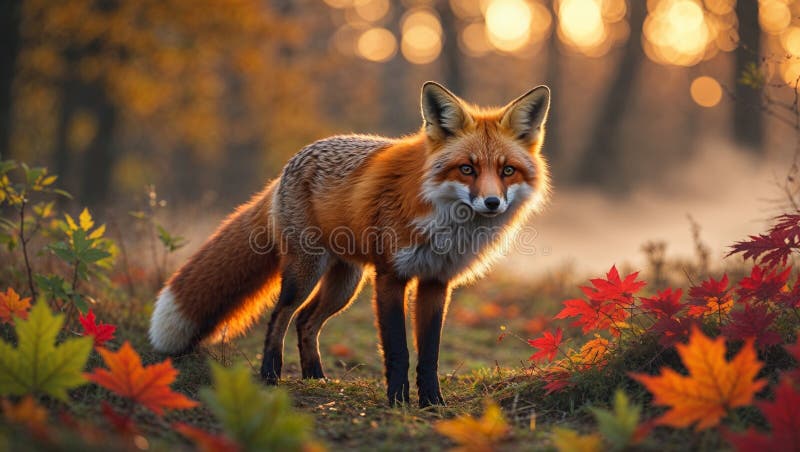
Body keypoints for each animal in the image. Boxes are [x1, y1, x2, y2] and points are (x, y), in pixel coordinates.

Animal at [149, 81, 551, 406]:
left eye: (507, 171)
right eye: (467, 168)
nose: (492, 203)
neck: (445, 223)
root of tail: (286, 168)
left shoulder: (437, 281)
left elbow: (430, 353)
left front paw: (432, 403)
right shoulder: (390, 276)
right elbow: (398, 349)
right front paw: (398, 401)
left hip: (345, 283)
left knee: (306, 322)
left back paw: (316, 377)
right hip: (305, 273)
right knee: (281, 316)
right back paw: (270, 373)